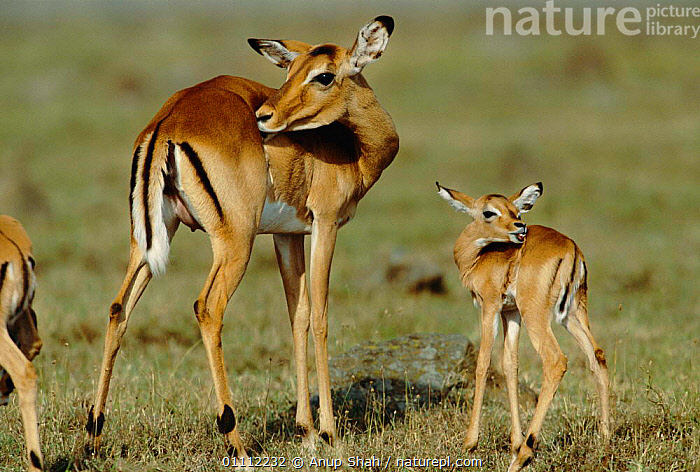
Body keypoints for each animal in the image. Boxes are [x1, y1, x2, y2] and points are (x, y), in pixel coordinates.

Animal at [85, 16, 398, 458]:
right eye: (290, 71)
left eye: (321, 75)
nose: (265, 116)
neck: (349, 145)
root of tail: (167, 123)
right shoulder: (325, 223)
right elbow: (320, 316)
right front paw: (328, 433)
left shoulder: (287, 235)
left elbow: (298, 315)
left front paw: (305, 431)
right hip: (235, 243)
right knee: (207, 307)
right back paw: (236, 442)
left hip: (150, 240)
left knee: (118, 308)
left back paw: (94, 436)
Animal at [436, 182, 610, 471]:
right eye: (490, 212)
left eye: (515, 210)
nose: (521, 227)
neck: (478, 258)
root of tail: (571, 248)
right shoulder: (511, 313)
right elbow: (510, 364)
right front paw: (514, 442)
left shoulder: (490, 307)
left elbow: (483, 362)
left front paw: (470, 443)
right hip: (572, 314)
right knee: (597, 356)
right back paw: (604, 442)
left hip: (537, 315)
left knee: (555, 360)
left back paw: (524, 456)